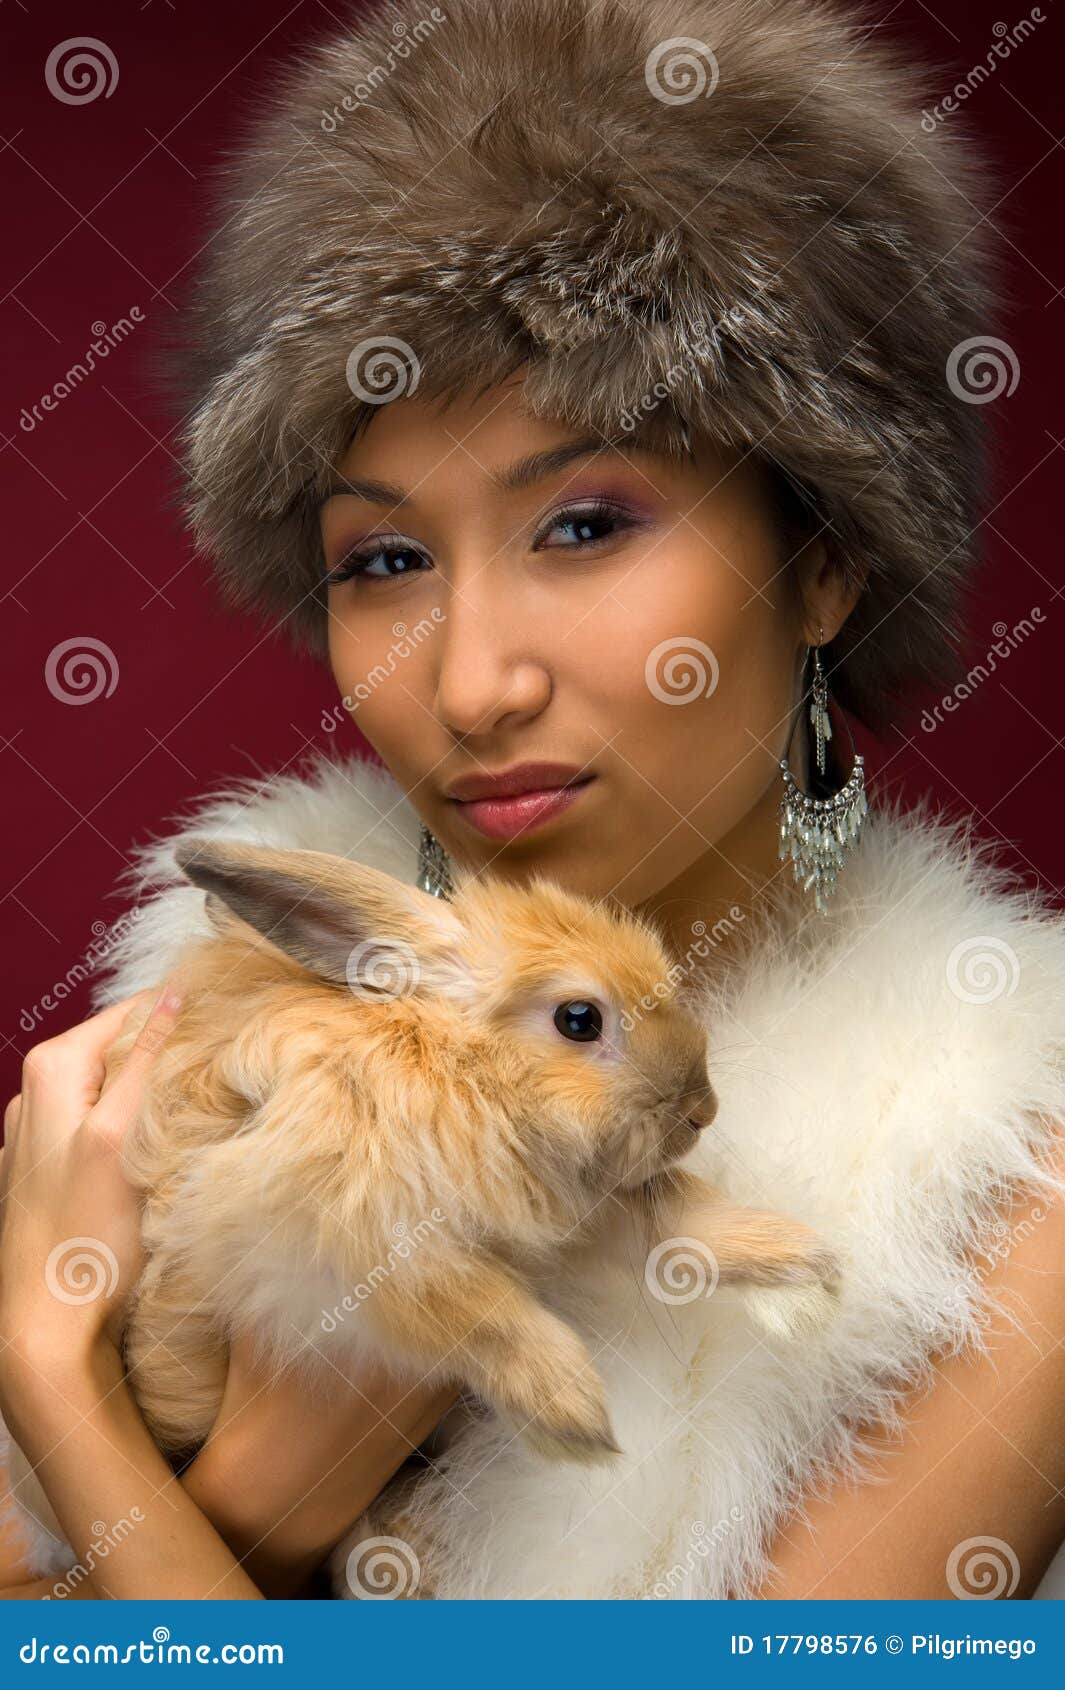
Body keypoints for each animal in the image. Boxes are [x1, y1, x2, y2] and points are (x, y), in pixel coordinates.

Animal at [3, 837, 842, 1574]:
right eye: (579, 1019)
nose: (701, 1111)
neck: (445, 1055)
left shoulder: (574, 1212)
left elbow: (676, 1223)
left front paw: (805, 1265)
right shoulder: (340, 1245)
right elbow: (473, 1309)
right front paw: (573, 1414)